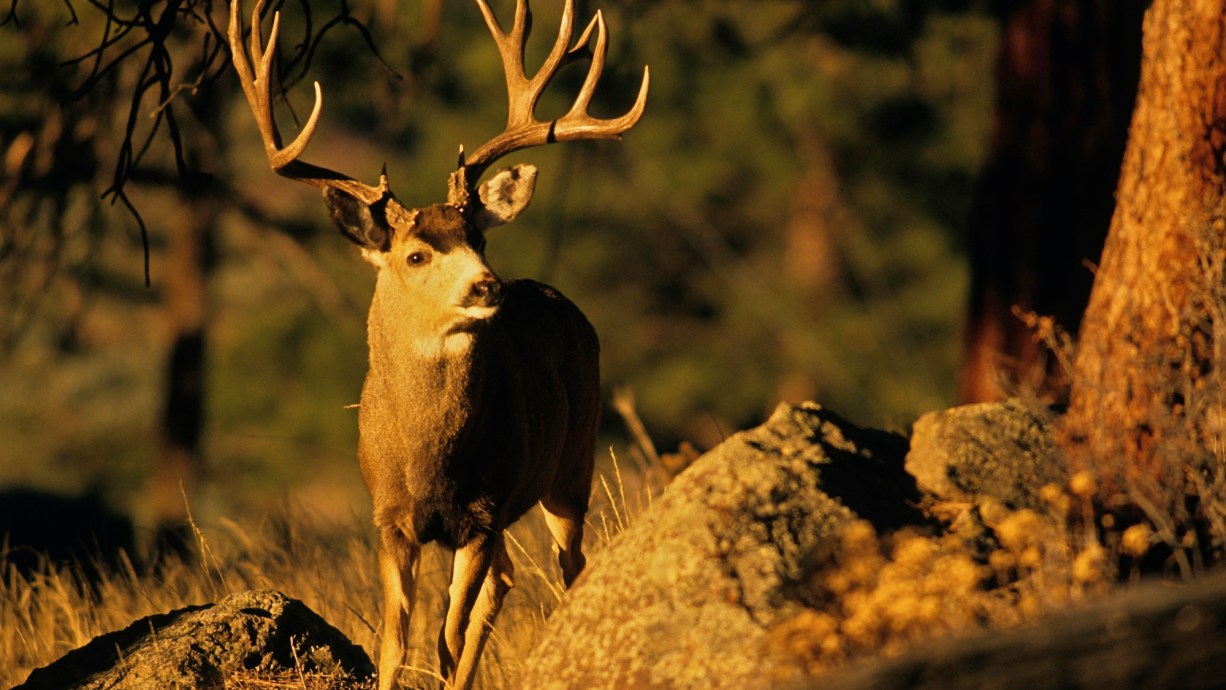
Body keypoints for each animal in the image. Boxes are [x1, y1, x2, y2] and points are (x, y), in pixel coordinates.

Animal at [228, 1, 647, 688]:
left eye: (480, 237)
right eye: (417, 254)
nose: (488, 285)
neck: (429, 463)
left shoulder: (480, 514)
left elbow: (447, 637)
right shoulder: (390, 518)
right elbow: (397, 640)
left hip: (571, 467)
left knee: (570, 568)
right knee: (507, 578)